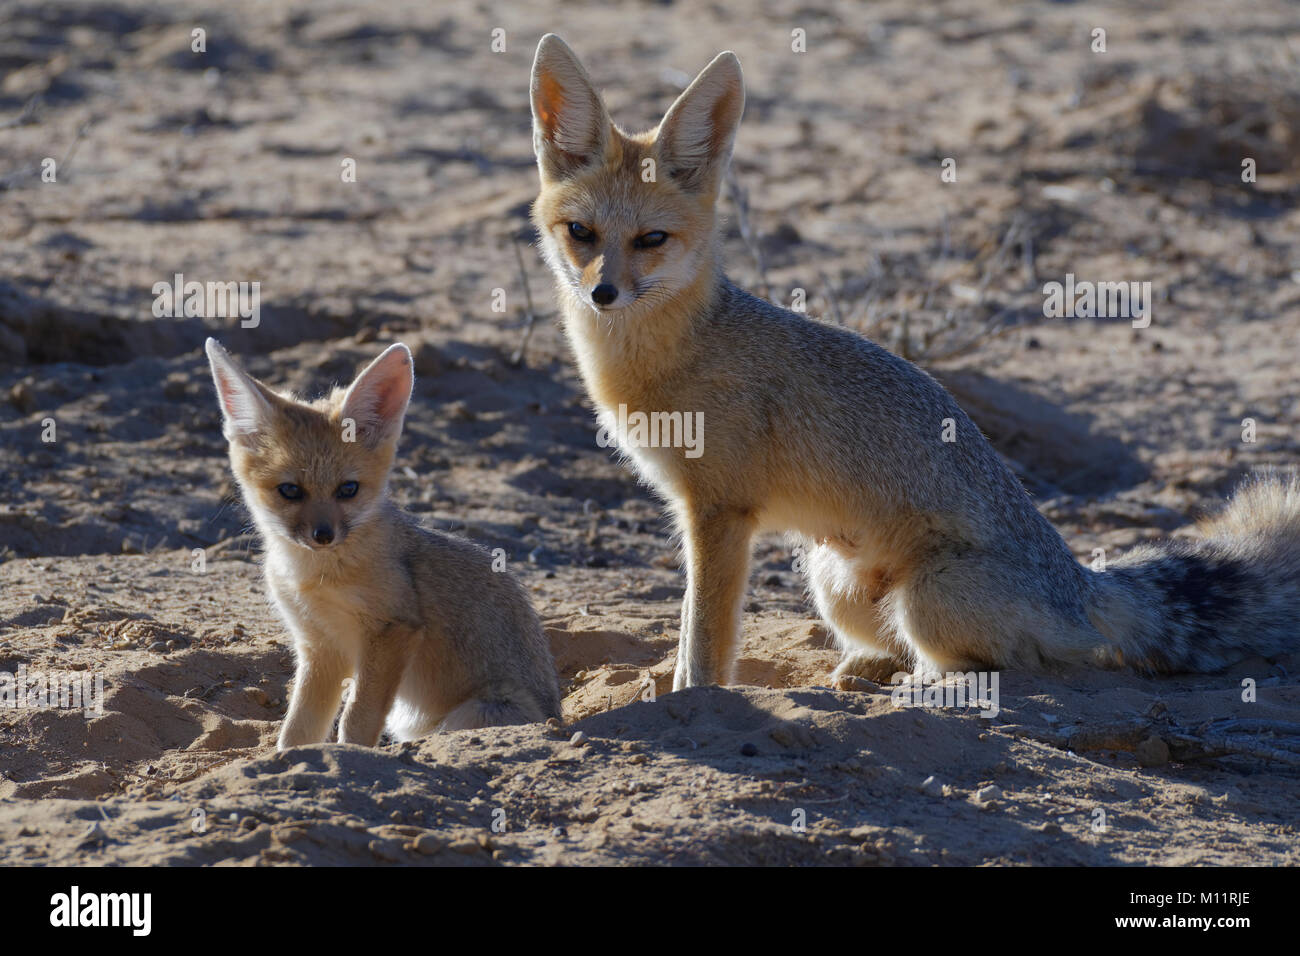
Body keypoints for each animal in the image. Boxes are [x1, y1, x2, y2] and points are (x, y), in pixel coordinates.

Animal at [204, 338, 561, 748]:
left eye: (348, 490)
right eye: (290, 491)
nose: (323, 535)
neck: (314, 576)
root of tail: (557, 715)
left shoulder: (393, 630)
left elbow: (356, 718)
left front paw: (351, 753)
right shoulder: (319, 647)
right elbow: (298, 729)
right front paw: (287, 757)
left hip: (473, 713)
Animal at [528, 34, 1300, 691]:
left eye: (652, 240)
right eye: (582, 233)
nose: (602, 293)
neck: (668, 355)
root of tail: (1080, 579)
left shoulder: (720, 512)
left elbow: (705, 638)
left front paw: (695, 701)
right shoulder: (704, 513)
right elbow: (694, 626)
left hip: (924, 598)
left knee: (1020, 664)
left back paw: (923, 684)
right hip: (832, 575)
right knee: (900, 645)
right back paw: (865, 671)